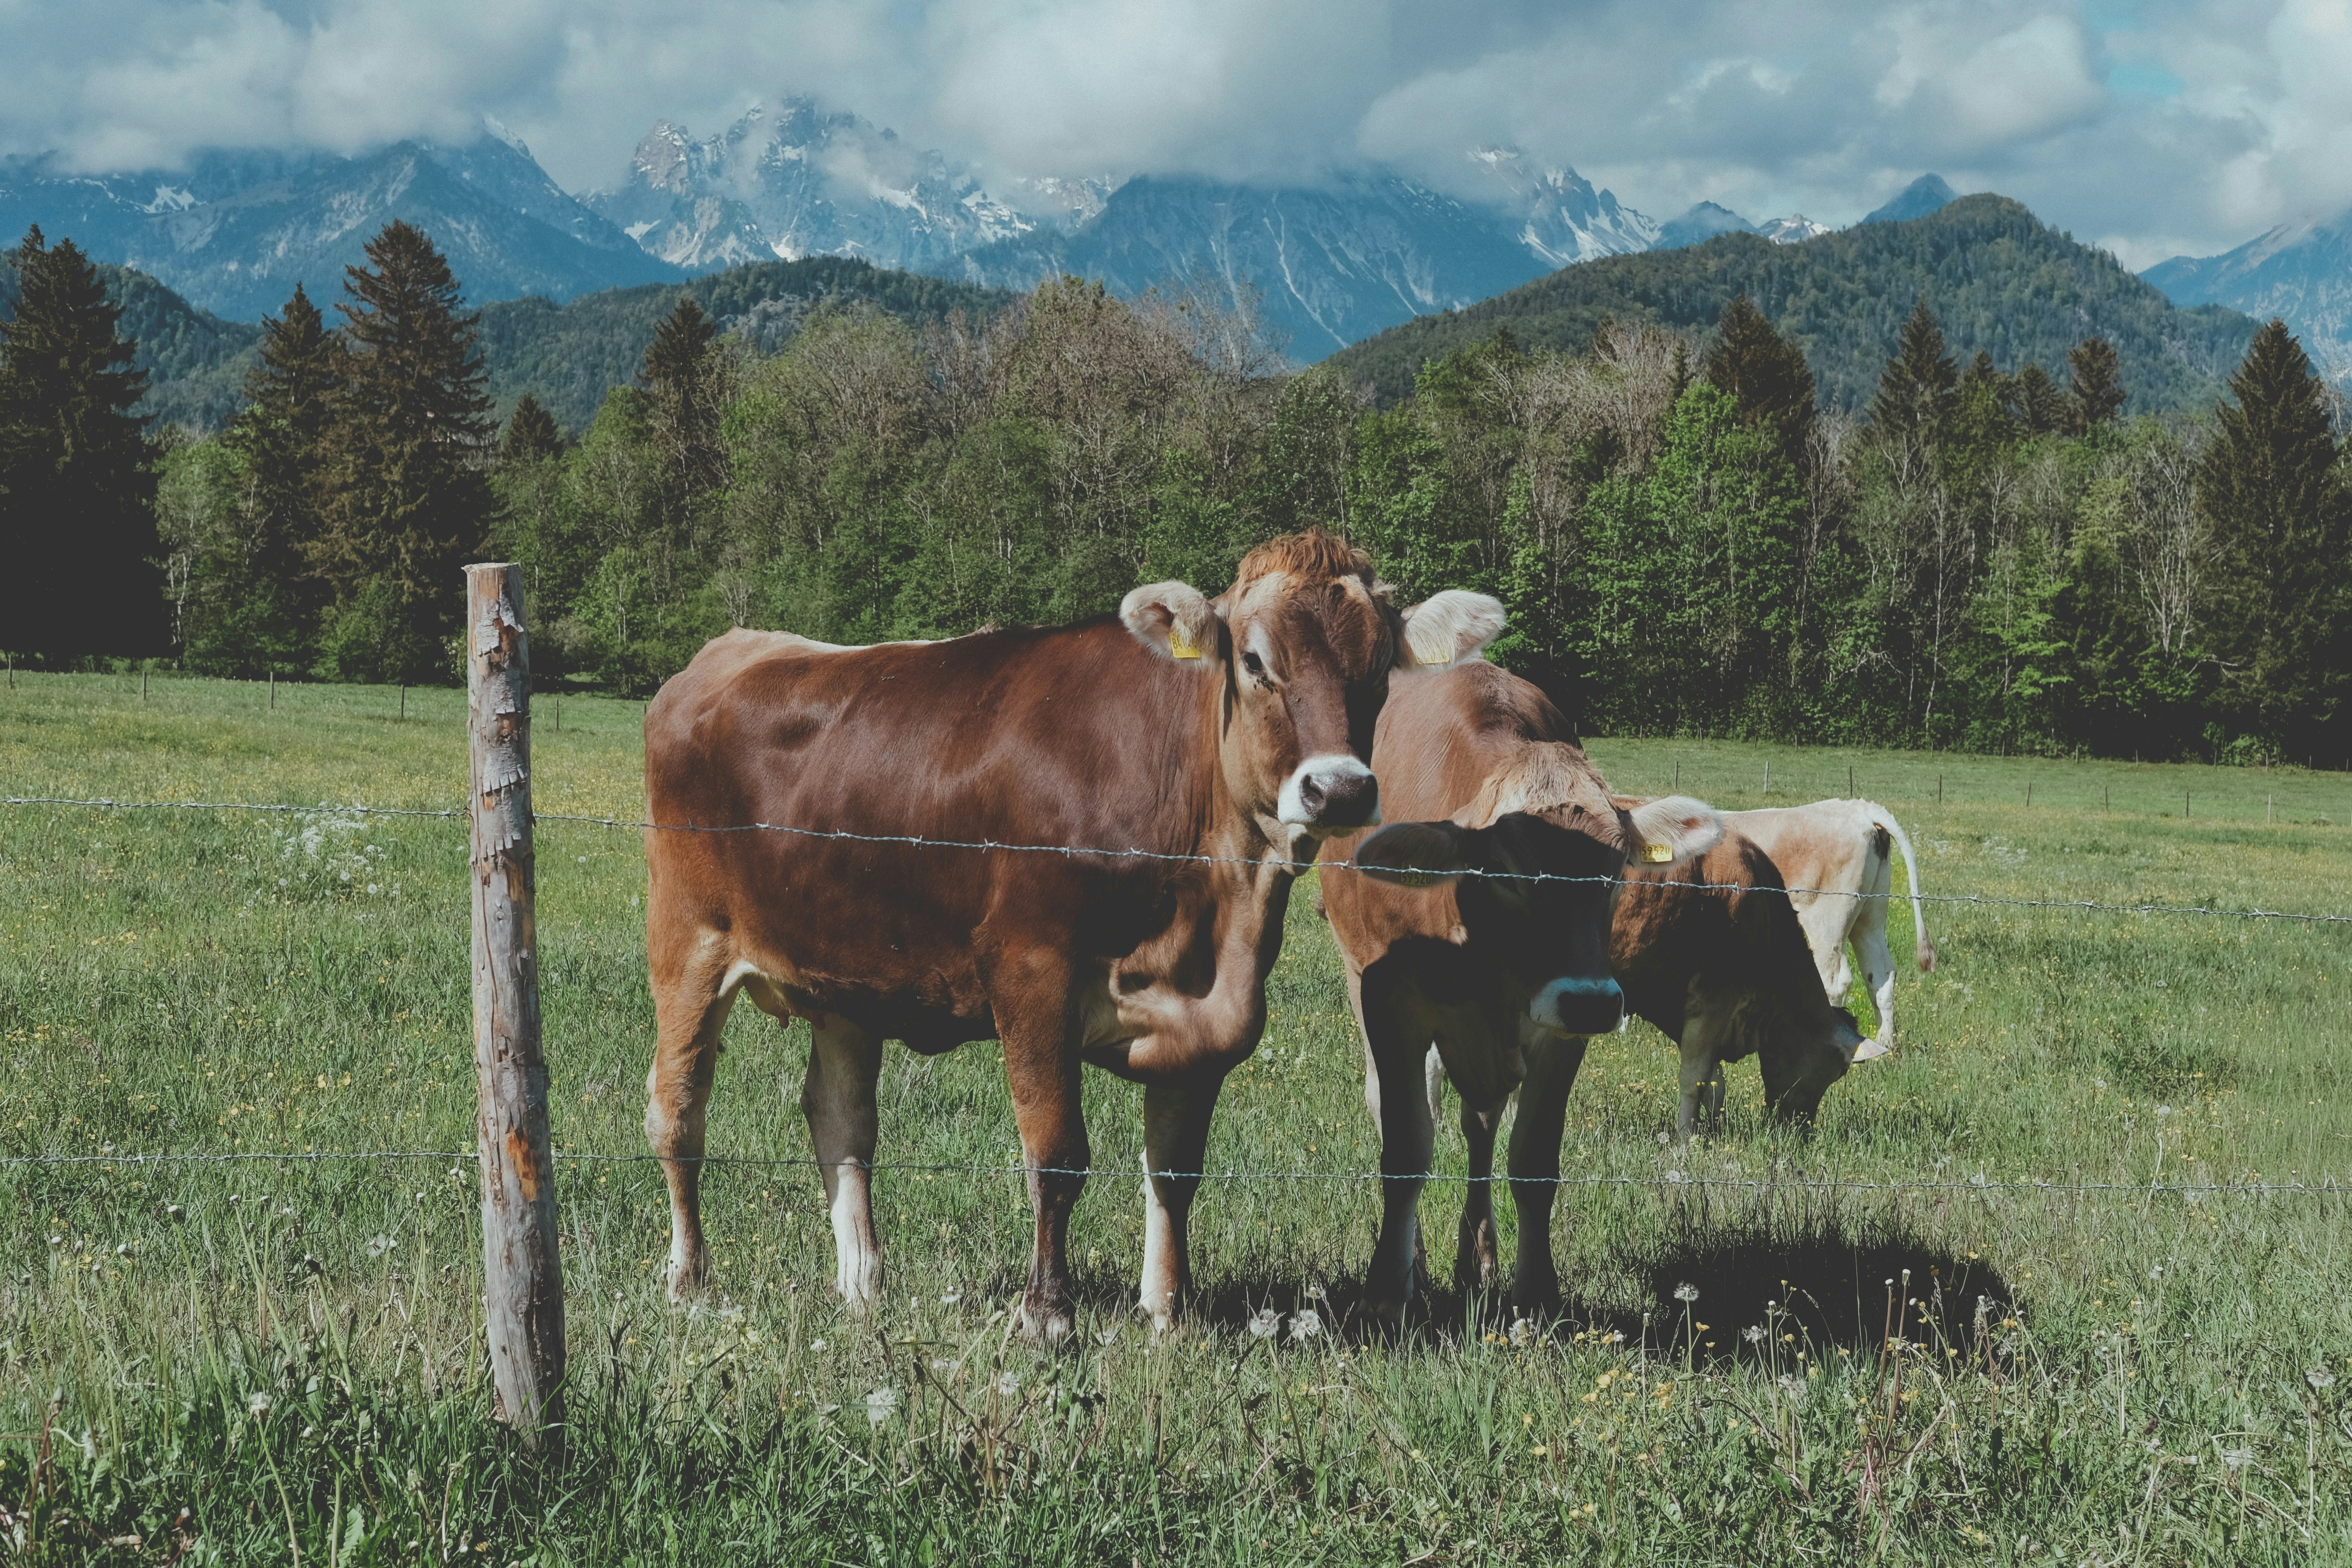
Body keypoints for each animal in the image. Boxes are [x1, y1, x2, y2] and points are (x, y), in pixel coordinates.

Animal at [641, 529, 1504, 1341]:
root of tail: (732, 648)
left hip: (843, 976)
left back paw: (862, 1287)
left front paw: (1166, 1312)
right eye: (1255, 660)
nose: (1340, 789)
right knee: (678, 1110)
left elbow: (1174, 1170)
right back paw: (687, 1281)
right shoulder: (1031, 975)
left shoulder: (1208, 1015)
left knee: (841, 1119)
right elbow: (1057, 1155)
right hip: (688, 939)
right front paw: (1047, 1314)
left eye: (1379, 666)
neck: (1218, 902)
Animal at [1319, 661, 1724, 1325]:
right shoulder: (1390, 1000)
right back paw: (1416, 1262)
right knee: (1396, 1106)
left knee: (1479, 1123)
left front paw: (1536, 1294)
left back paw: (1476, 1257)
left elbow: (1533, 1160)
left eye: (1616, 869)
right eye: (1505, 872)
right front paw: (1385, 1293)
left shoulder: (1559, 1033)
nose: (1592, 1001)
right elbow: (1405, 1145)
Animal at [1723, 798, 1938, 1055]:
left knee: (1834, 983)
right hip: (1870, 918)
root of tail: (1858, 809)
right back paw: (1885, 1045)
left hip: (1826, 922)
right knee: (1881, 976)